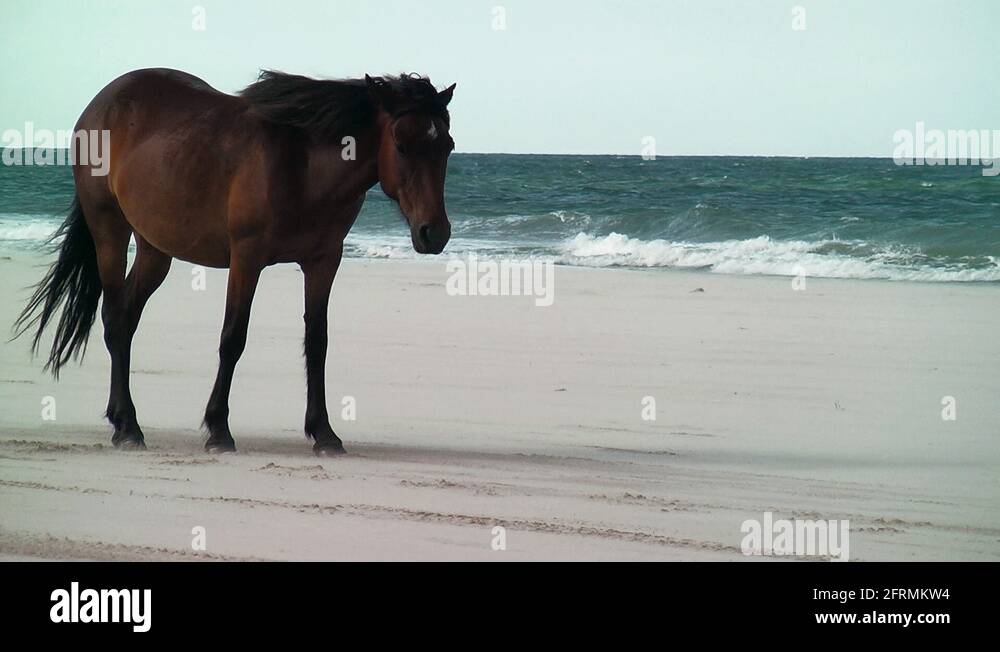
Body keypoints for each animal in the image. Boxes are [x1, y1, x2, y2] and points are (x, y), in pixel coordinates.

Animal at [13, 68, 457, 456]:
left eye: (447, 146)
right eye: (401, 143)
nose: (434, 233)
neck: (303, 164)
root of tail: (101, 103)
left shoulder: (323, 262)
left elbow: (317, 343)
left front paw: (324, 434)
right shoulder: (247, 258)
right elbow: (233, 338)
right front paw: (219, 430)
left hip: (155, 249)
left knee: (124, 320)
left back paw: (123, 421)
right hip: (110, 232)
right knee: (112, 318)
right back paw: (128, 427)